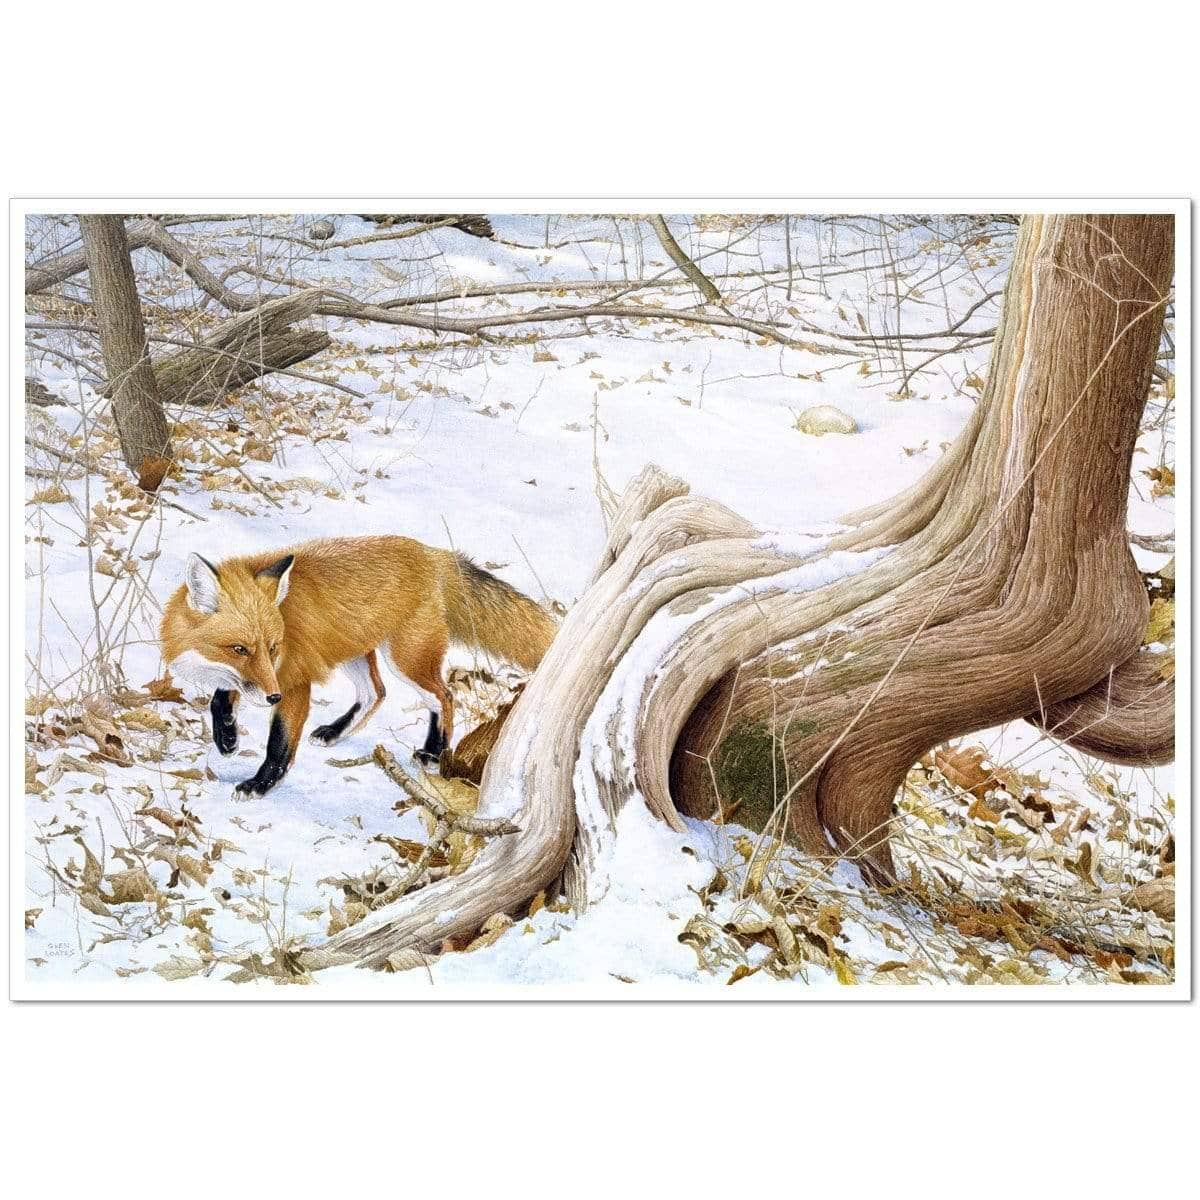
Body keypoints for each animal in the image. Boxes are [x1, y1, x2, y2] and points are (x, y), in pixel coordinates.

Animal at [159, 536, 557, 797]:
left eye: (273, 648)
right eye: (240, 649)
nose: (271, 699)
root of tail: (432, 555)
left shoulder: (293, 681)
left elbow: (279, 744)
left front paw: (260, 784)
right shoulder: (259, 679)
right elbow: (222, 696)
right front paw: (226, 736)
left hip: (406, 659)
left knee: (444, 696)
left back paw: (433, 752)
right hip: (353, 652)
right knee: (377, 693)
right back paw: (336, 732)